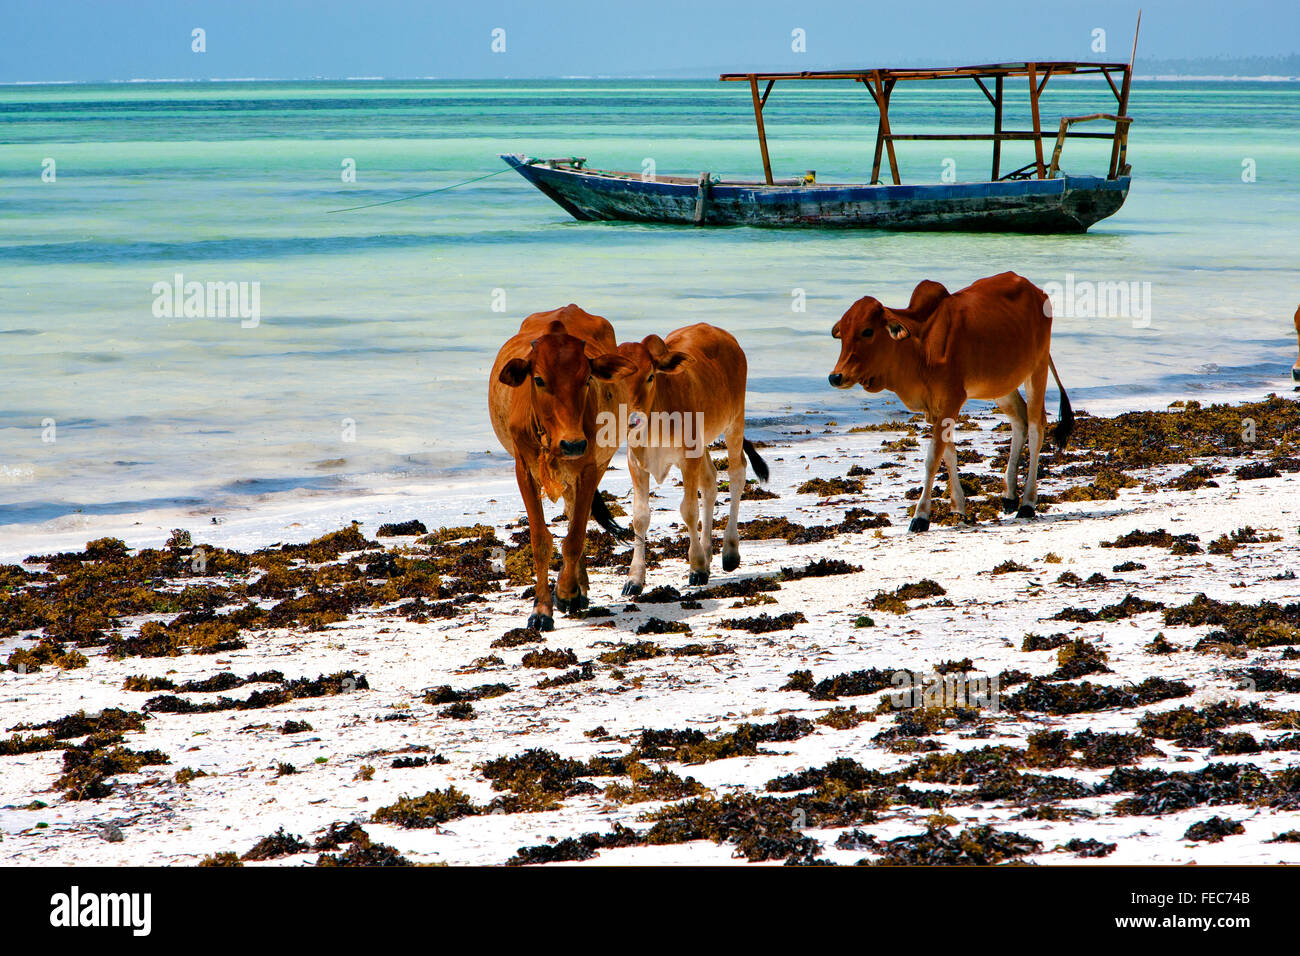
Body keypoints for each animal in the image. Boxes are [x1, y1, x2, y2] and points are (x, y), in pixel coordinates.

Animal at [488, 304, 635, 631]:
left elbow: (575, 536)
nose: (573, 444)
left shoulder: (590, 467)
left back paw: (577, 589)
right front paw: (542, 608)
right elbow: (541, 540)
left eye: (587, 379)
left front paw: (567, 592)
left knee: (574, 521)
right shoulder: (524, 470)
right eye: (539, 379)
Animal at [614, 324, 769, 595]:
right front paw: (634, 579)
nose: (633, 419)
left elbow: (688, 510)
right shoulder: (637, 464)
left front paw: (696, 568)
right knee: (710, 482)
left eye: (650, 376)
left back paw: (729, 552)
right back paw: (708, 553)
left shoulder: (688, 458)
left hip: (734, 422)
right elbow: (640, 517)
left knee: (736, 473)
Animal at [828, 272, 1073, 532]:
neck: (920, 346)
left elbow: (932, 458)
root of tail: (1035, 290)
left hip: (1037, 370)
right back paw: (1009, 496)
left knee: (1036, 427)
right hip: (1000, 384)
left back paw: (1027, 503)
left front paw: (921, 516)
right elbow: (948, 454)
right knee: (1020, 420)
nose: (836, 376)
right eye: (843, 334)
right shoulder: (936, 409)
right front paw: (958, 509)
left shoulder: (951, 401)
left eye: (867, 331)